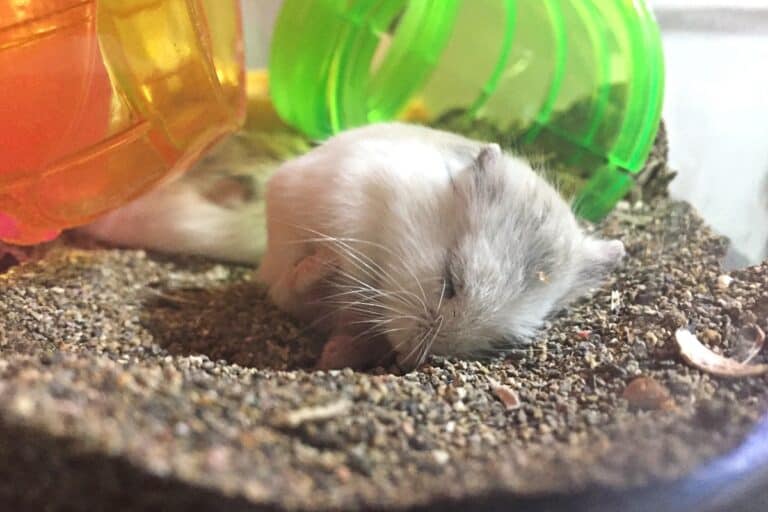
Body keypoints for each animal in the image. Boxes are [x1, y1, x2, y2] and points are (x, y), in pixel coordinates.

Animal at [84, 122, 625, 371]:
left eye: (499, 340)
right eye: (451, 282)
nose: (409, 362)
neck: (391, 236)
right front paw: (333, 264)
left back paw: (337, 350)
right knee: (288, 285)